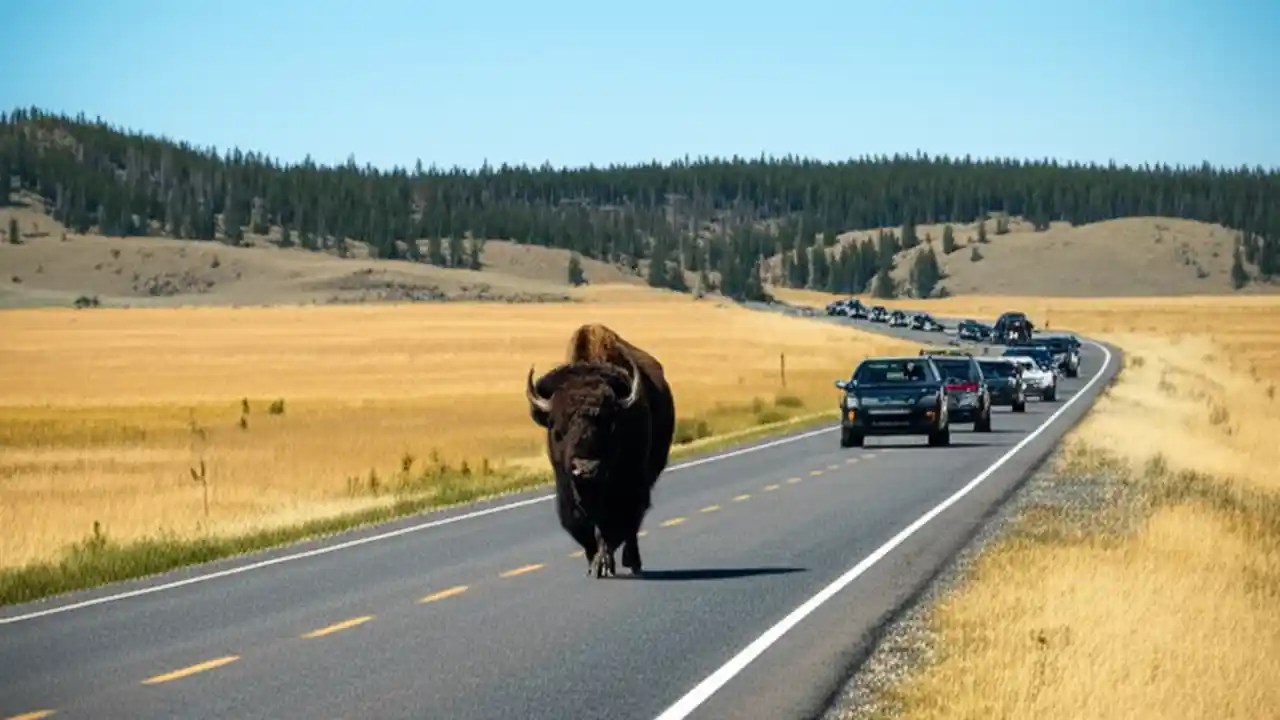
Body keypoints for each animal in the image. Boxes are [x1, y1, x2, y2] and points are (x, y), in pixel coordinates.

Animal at [525, 323, 676, 577]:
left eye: (609, 424)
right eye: (558, 428)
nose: (586, 469)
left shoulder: (627, 489)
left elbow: (612, 528)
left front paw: (603, 564)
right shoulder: (567, 492)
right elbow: (584, 530)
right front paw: (593, 565)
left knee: (631, 528)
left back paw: (633, 562)